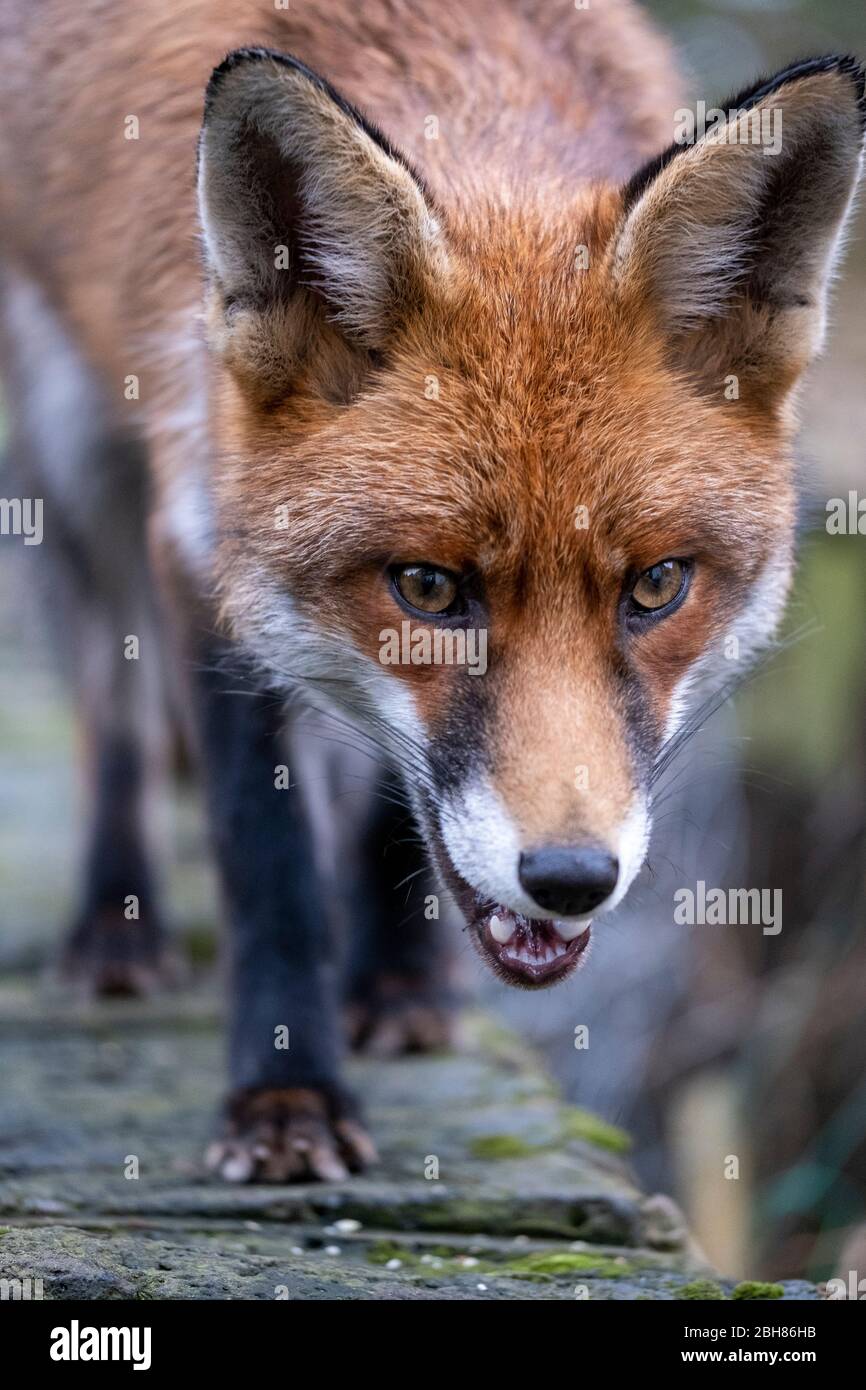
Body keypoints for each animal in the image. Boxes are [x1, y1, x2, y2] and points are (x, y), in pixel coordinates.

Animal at [0, 0, 862, 1183]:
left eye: (655, 585)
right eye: (426, 588)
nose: (570, 878)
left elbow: (382, 807)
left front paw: (400, 990)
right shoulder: (198, 526)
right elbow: (264, 856)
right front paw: (285, 1095)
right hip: (68, 445)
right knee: (111, 701)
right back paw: (115, 928)